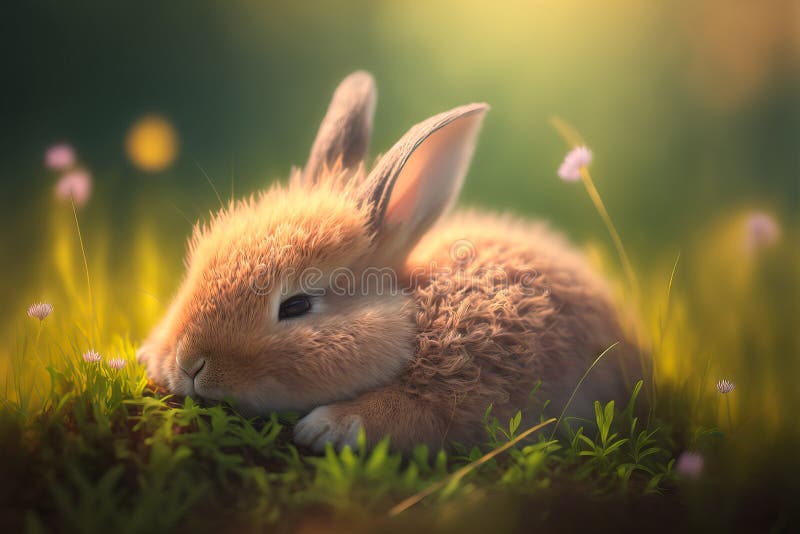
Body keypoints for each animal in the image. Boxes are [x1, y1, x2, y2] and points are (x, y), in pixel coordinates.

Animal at [137, 71, 644, 452]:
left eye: (296, 306)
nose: (191, 364)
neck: (414, 317)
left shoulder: (456, 391)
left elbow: (405, 412)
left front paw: (325, 426)